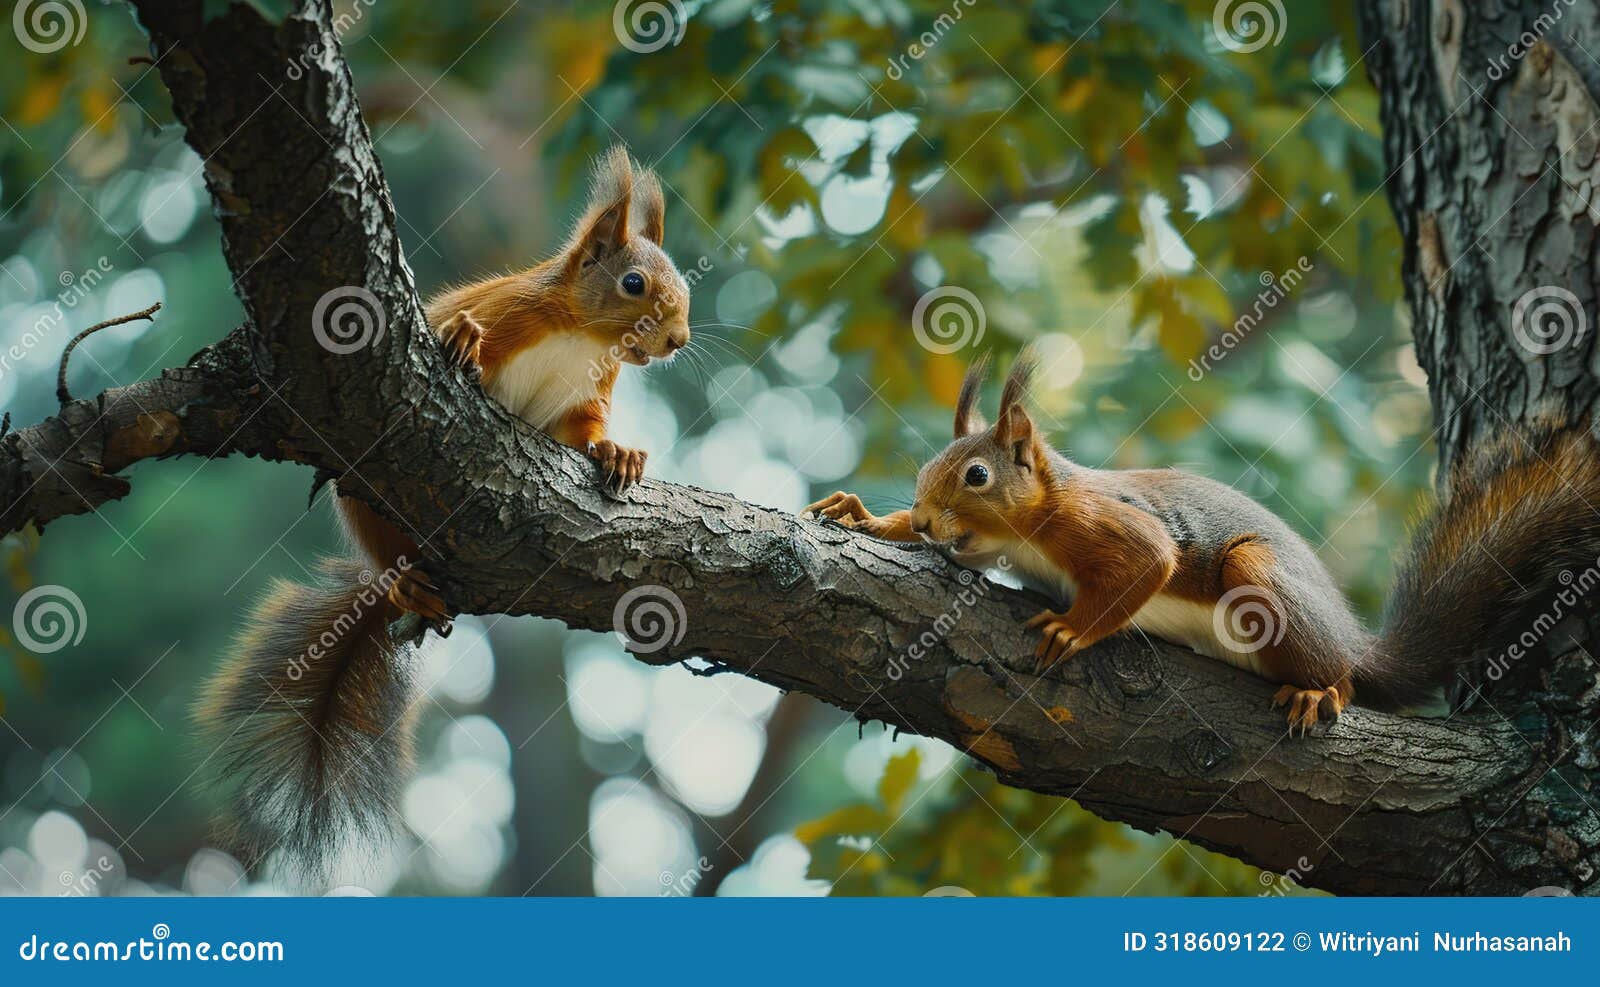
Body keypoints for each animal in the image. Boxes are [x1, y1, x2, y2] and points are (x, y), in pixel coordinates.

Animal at [195, 146, 692, 878]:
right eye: (633, 283)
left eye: (681, 284)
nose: (678, 340)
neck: (580, 335)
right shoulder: (509, 307)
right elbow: (468, 328)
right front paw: (460, 335)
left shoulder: (586, 397)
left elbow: (585, 433)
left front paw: (619, 452)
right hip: (366, 501)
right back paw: (404, 581)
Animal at [805, 350, 1600, 735]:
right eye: (923, 477)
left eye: (976, 474)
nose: (925, 518)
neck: (1027, 530)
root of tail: (1358, 641)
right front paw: (863, 516)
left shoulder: (1099, 520)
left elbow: (1148, 562)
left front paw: (1071, 628)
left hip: (1263, 578)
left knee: (1342, 675)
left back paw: (1322, 689)